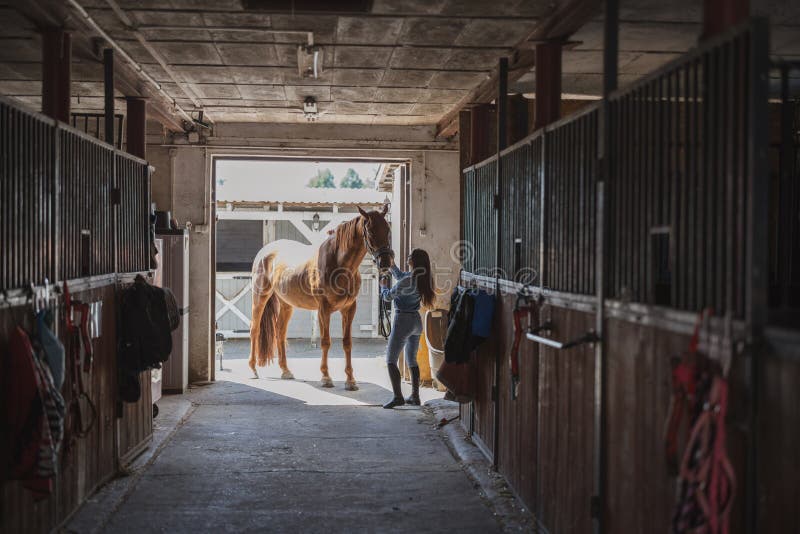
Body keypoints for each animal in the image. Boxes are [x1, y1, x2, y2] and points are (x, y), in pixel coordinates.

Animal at [249, 206, 393, 390]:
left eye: (387, 230)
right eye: (370, 230)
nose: (386, 263)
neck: (338, 264)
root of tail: (266, 252)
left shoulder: (349, 309)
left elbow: (347, 343)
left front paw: (350, 381)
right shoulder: (324, 309)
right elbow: (325, 341)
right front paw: (325, 377)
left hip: (286, 304)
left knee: (280, 332)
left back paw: (286, 371)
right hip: (260, 297)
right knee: (255, 329)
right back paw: (253, 369)